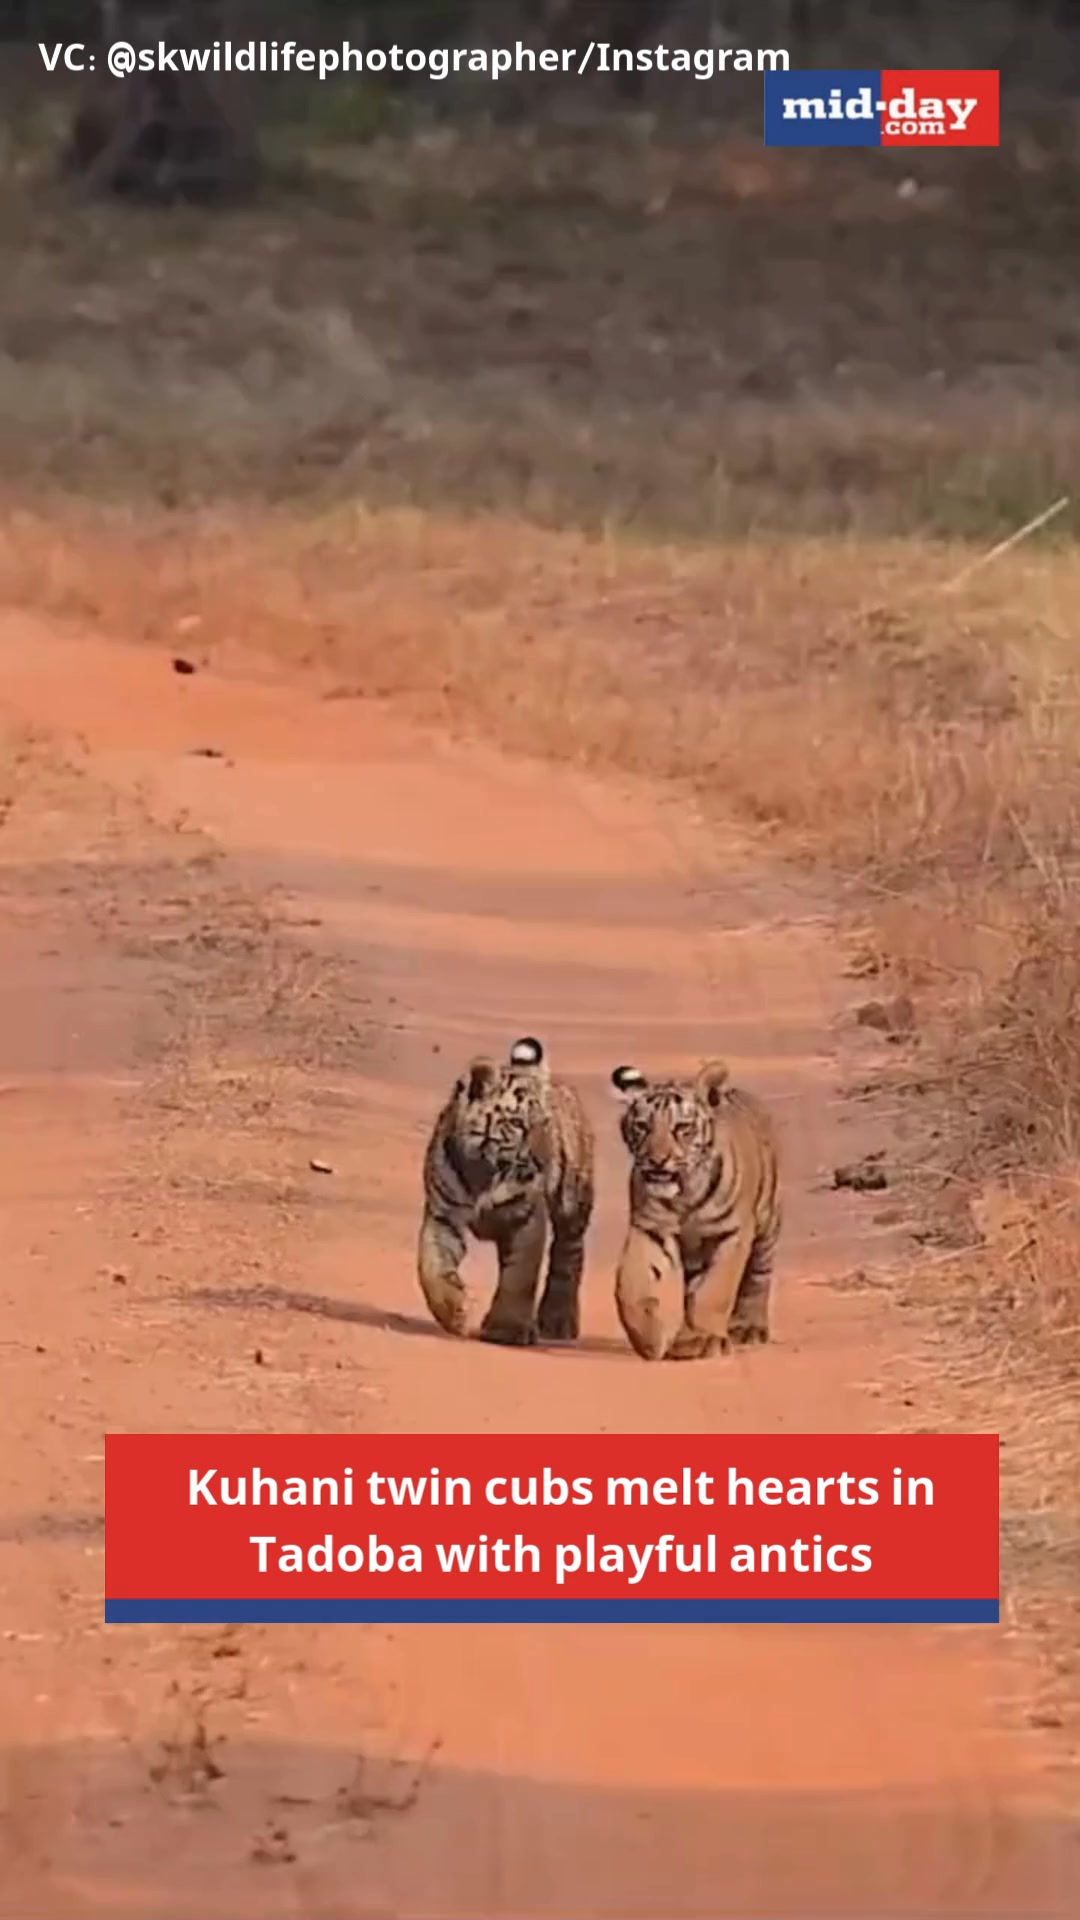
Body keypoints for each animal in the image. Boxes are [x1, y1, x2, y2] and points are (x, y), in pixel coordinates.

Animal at [417, 1037, 595, 1348]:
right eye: (516, 1124)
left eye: (545, 1123)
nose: (543, 1161)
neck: (484, 1173)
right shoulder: (443, 1216)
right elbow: (431, 1263)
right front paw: (454, 1313)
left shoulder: (526, 1218)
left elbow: (520, 1275)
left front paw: (507, 1329)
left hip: (572, 1199)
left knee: (568, 1253)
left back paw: (559, 1320)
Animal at [609, 1057, 781, 1361]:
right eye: (642, 1126)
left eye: (682, 1128)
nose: (657, 1160)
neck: (685, 1193)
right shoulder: (650, 1228)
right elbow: (632, 1283)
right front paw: (648, 1338)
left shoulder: (732, 1233)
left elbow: (715, 1290)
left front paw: (703, 1339)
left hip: (767, 1224)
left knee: (758, 1276)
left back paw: (749, 1327)